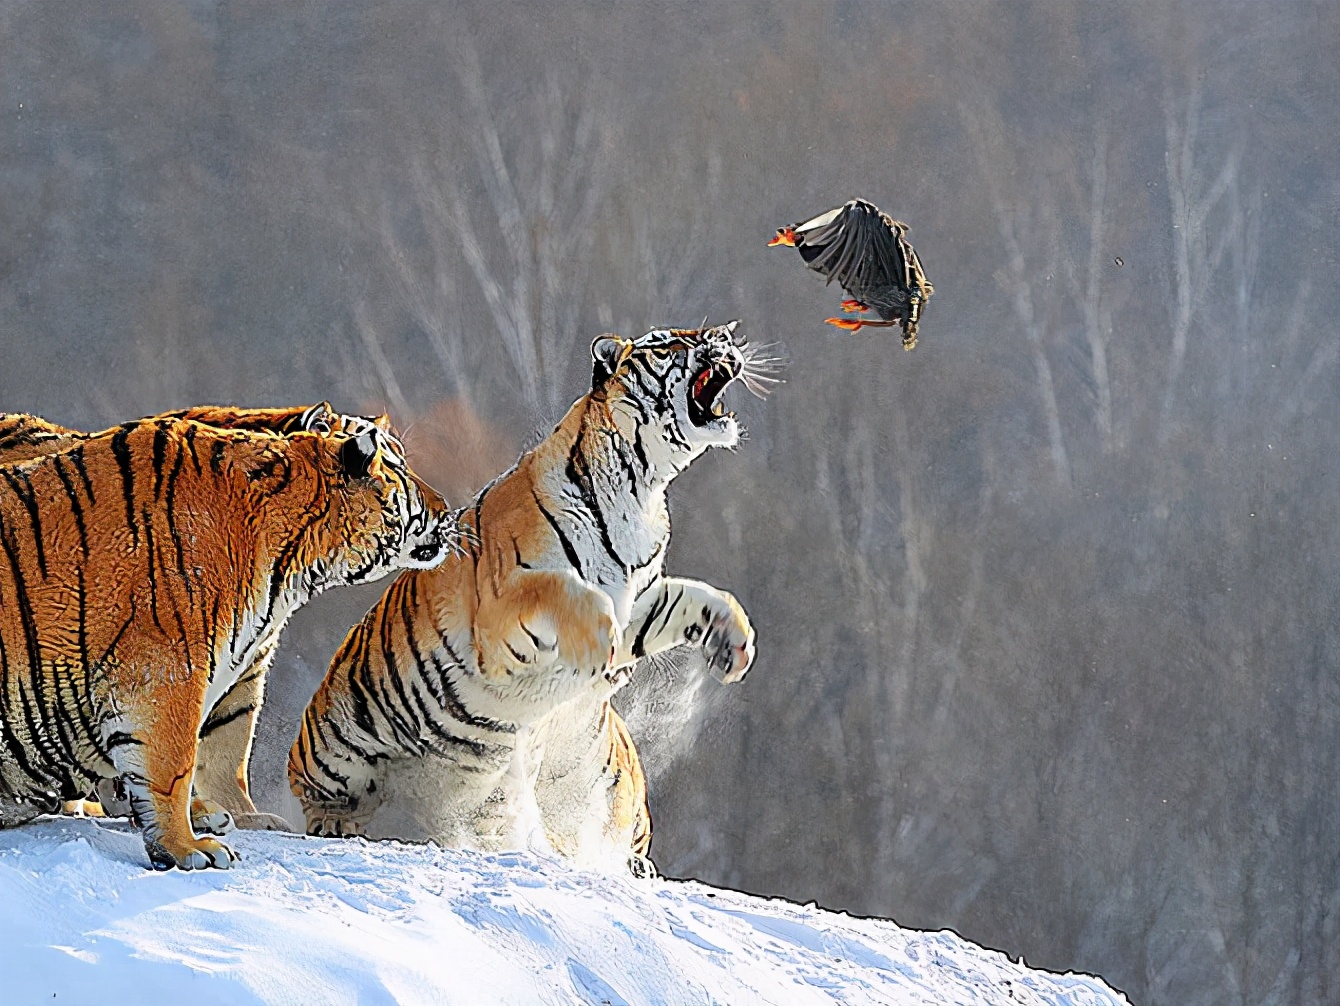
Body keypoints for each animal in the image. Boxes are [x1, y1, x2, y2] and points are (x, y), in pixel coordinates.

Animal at [290, 321, 759, 871]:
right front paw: (597, 646)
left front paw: (733, 643)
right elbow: (567, 591)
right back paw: (335, 823)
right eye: (667, 344)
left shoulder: (638, 599)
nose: (726, 335)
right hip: (337, 743)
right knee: (322, 792)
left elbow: (692, 597)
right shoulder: (503, 604)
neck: (640, 491)